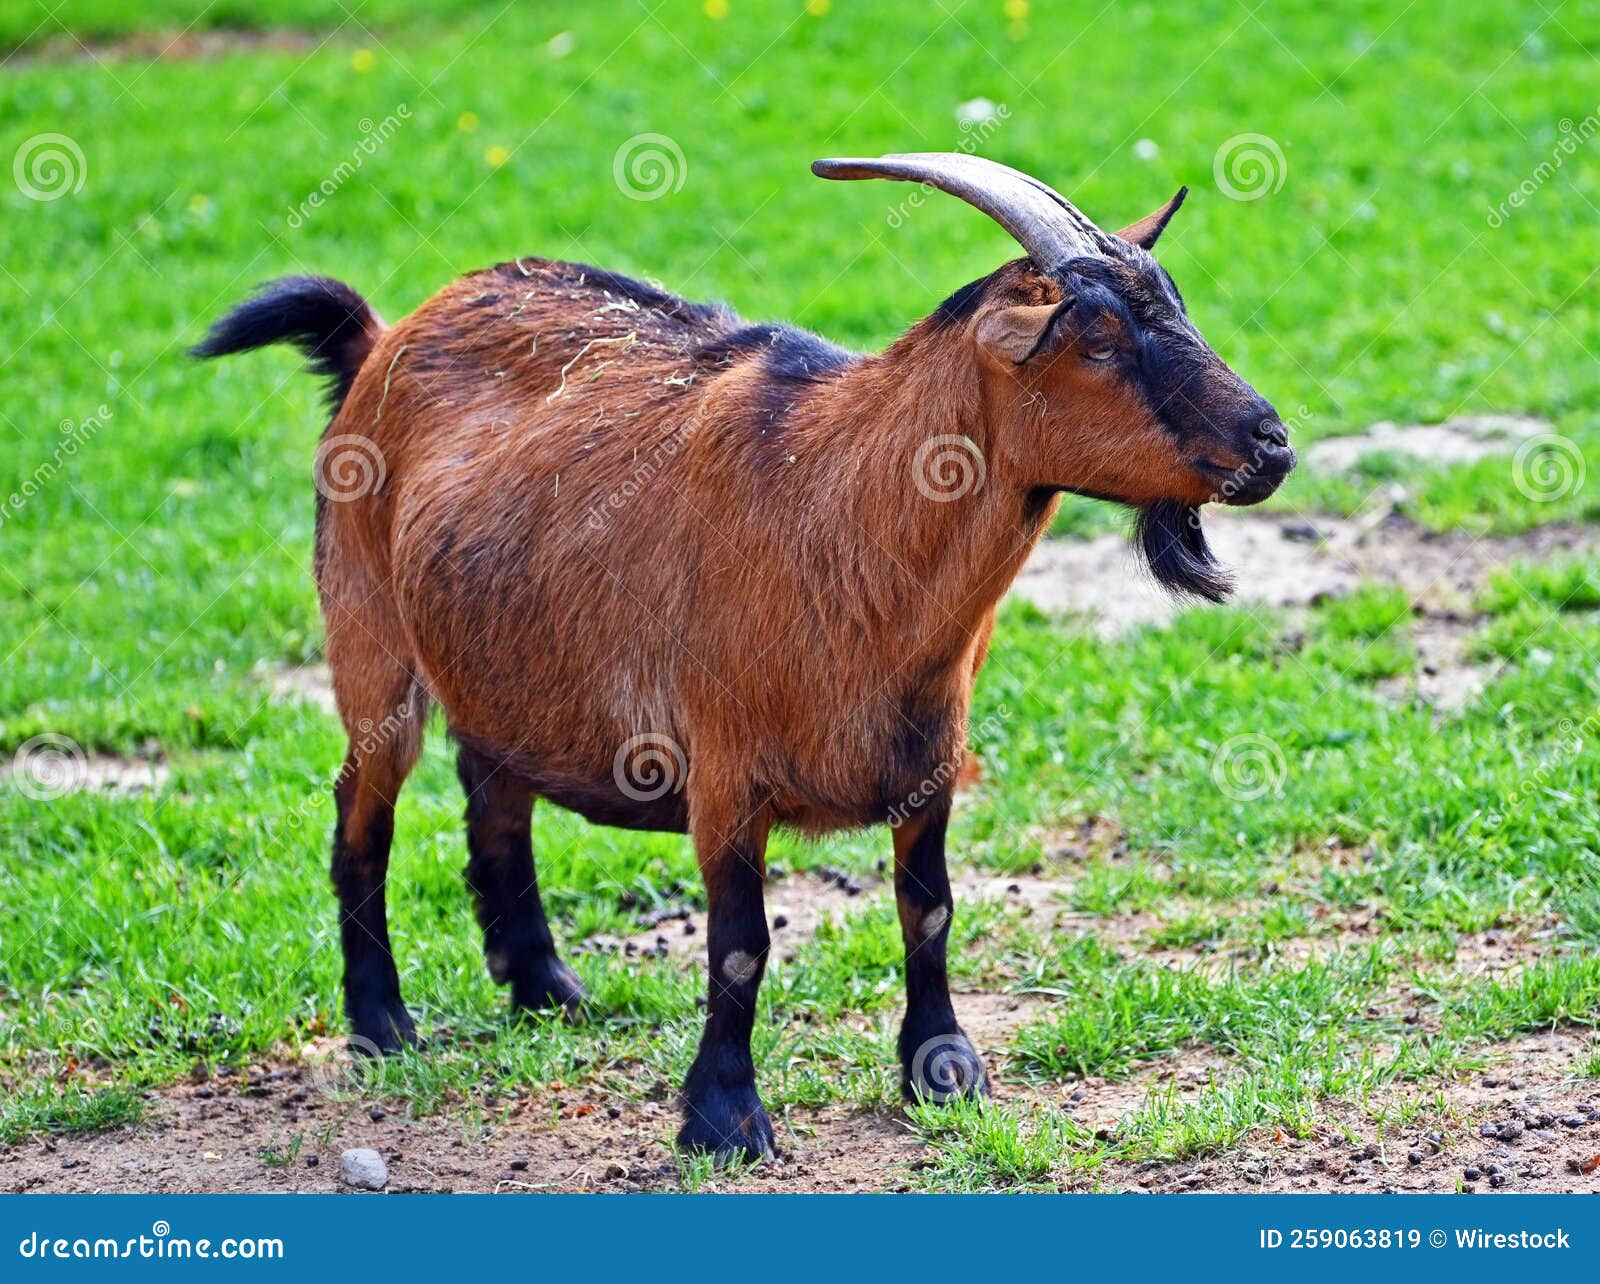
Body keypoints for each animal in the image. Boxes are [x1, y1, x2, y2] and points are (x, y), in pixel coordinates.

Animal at [192, 152, 1295, 1161]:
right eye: (1098, 338)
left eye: (1175, 306)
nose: (1271, 443)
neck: (842, 512)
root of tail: (381, 340)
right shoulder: (725, 772)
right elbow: (739, 947)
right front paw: (723, 1119)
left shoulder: (931, 757)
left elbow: (928, 910)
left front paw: (943, 1070)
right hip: (371, 642)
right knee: (362, 813)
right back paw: (383, 1027)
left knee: (493, 790)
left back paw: (545, 988)